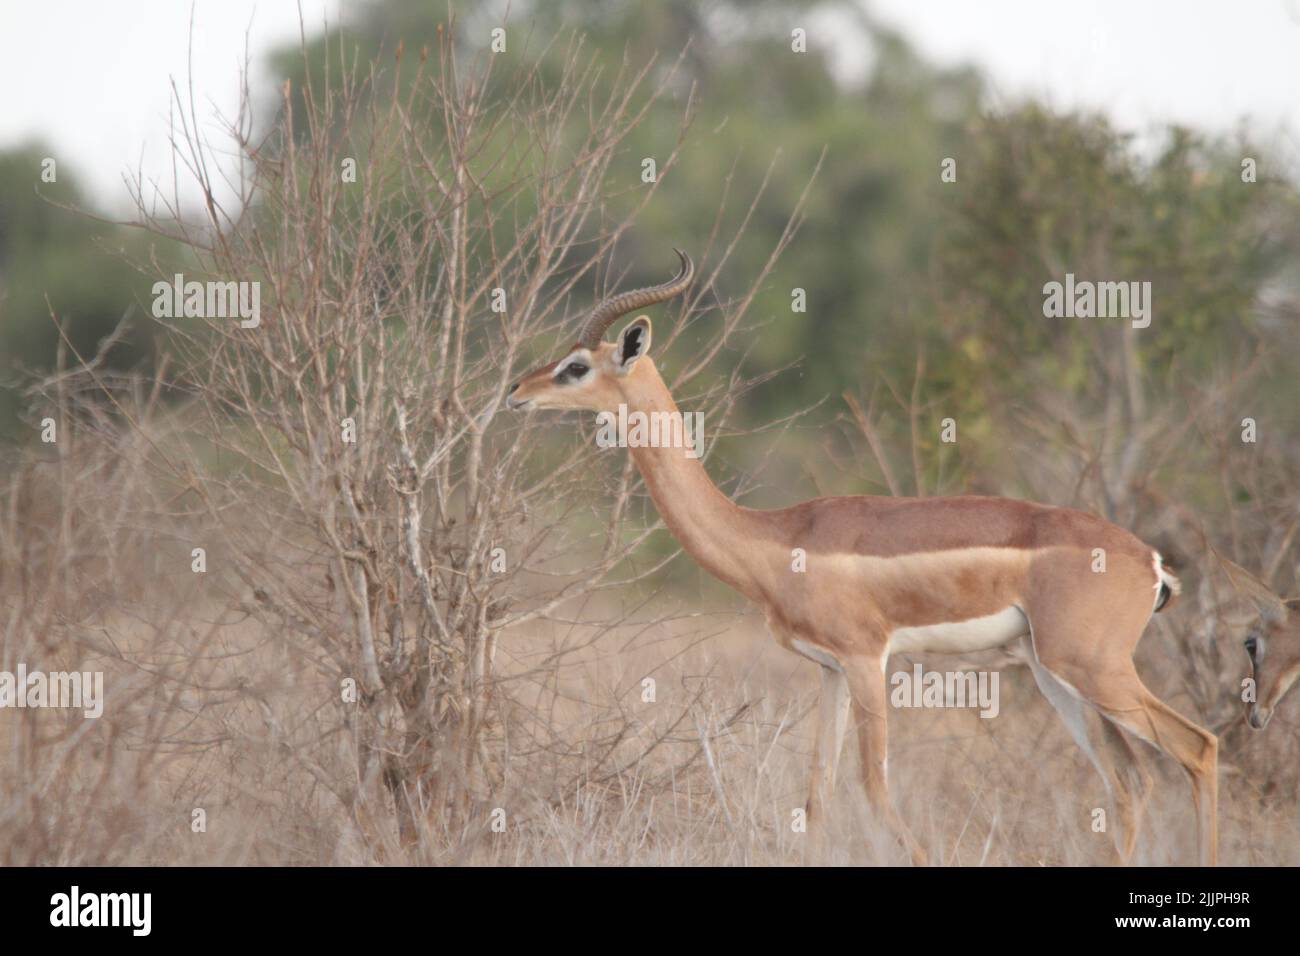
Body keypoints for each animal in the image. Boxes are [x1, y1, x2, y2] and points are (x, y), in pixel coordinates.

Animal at [507, 250, 1218, 865]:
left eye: (577, 366)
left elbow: (873, 790)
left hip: (1094, 669)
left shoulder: (866, 658)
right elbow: (817, 794)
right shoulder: (827, 670)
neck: (774, 539)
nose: (516, 390)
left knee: (1197, 747)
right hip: (1056, 674)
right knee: (1129, 782)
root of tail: (1150, 561)